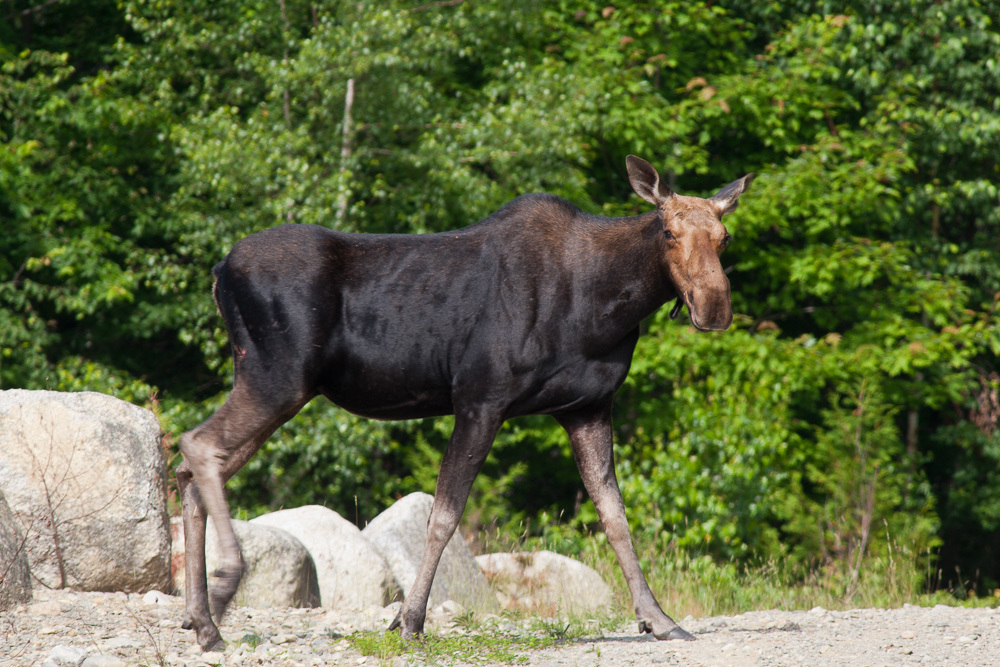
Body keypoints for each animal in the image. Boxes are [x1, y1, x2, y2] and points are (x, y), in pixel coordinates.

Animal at [175, 155, 755, 650]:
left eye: (725, 238)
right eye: (668, 232)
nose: (714, 306)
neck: (607, 306)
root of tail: (219, 271)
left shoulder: (587, 408)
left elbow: (615, 516)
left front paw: (658, 619)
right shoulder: (480, 398)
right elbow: (444, 516)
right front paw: (408, 620)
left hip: (270, 382)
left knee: (192, 469)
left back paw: (202, 621)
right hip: (277, 377)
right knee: (197, 445)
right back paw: (224, 590)